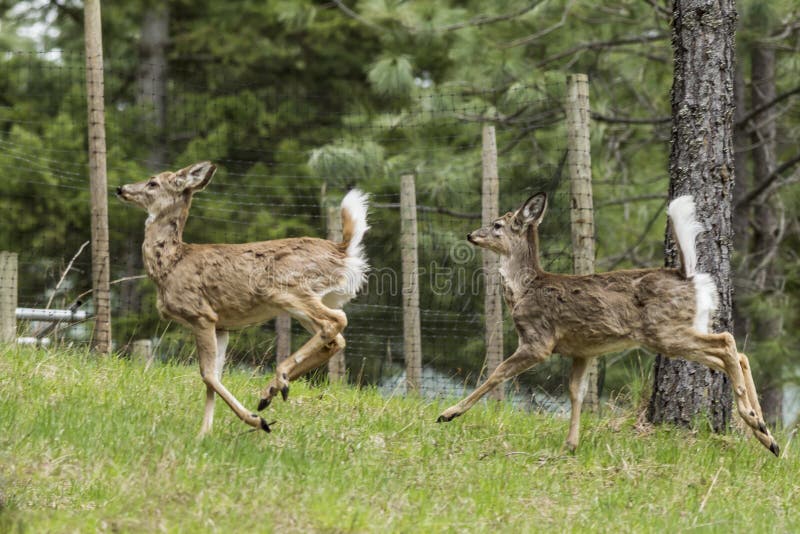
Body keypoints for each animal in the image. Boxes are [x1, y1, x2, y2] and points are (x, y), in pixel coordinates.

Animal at [117, 162, 369, 435]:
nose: (121, 189)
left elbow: (207, 374)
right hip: (305, 300)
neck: (170, 264)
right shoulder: (222, 325)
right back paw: (270, 392)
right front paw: (204, 433)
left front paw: (256, 422)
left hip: (286, 289)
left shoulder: (201, 314)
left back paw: (277, 382)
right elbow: (213, 377)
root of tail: (343, 251)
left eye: (153, 183)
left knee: (336, 320)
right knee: (336, 339)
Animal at [436, 192, 780, 456]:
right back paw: (766, 434)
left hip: (663, 332)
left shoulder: (538, 340)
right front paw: (571, 444)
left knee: (727, 343)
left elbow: (497, 373)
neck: (523, 290)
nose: (470, 235)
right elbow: (576, 391)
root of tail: (688, 274)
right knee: (737, 355)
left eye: (497, 225)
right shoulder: (582, 350)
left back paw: (753, 419)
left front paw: (448, 413)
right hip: (684, 329)